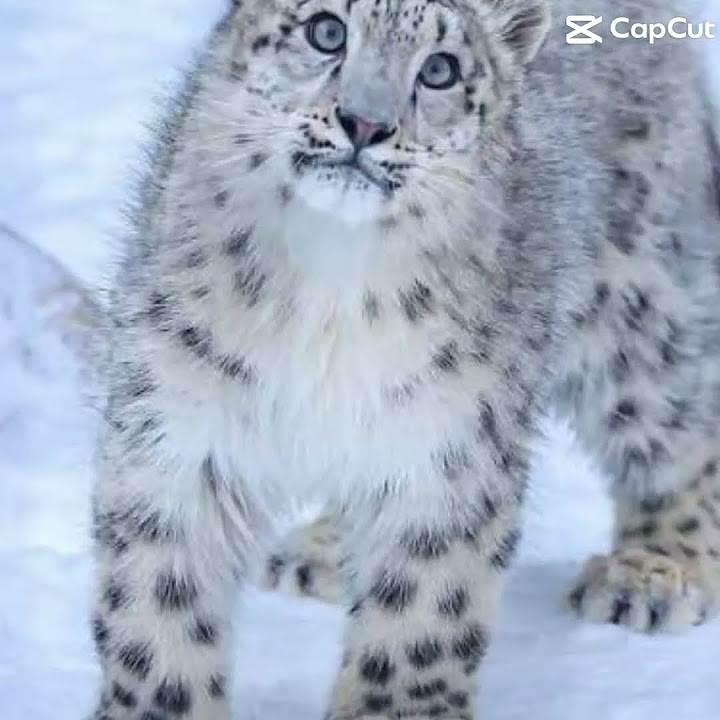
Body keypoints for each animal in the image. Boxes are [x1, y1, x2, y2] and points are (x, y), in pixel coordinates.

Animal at [90, 0, 720, 719]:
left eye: (440, 69)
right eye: (327, 30)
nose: (365, 122)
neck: (326, 286)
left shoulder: (449, 443)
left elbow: (420, 613)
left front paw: (392, 707)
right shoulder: (176, 422)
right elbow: (156, 606)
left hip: (638, 303)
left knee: (679, 428)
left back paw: (650, 575)